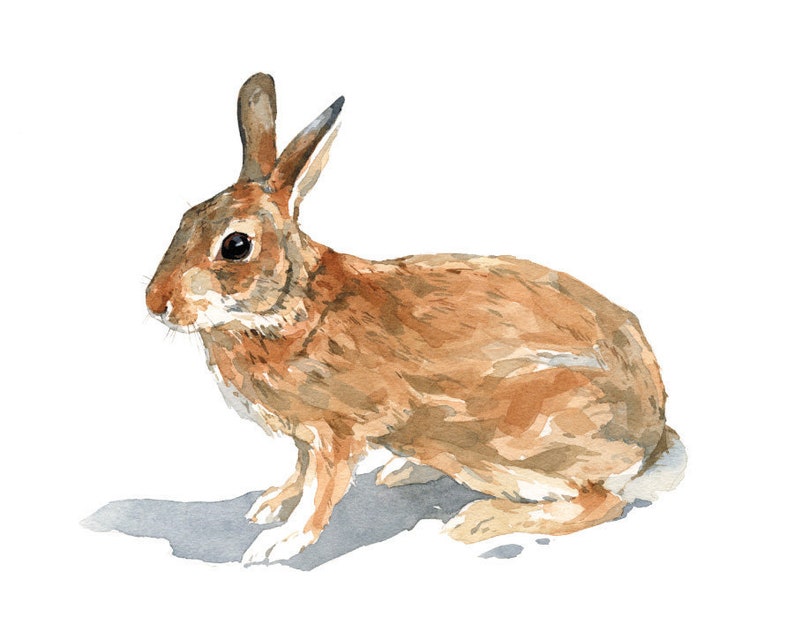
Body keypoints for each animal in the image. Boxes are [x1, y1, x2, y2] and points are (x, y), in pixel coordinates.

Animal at [146, 73, 686, 565]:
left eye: (236, 246)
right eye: (186, 219)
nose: (155, 303)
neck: (292, 306)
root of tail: (652, 432)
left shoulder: (336, 432)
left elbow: (321, 489)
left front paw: (279, 545)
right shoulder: (304, 436)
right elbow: (298, 472)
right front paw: (269, 506)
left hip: (521, 442)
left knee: (601, 501)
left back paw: (478, 520)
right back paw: (405, 472)